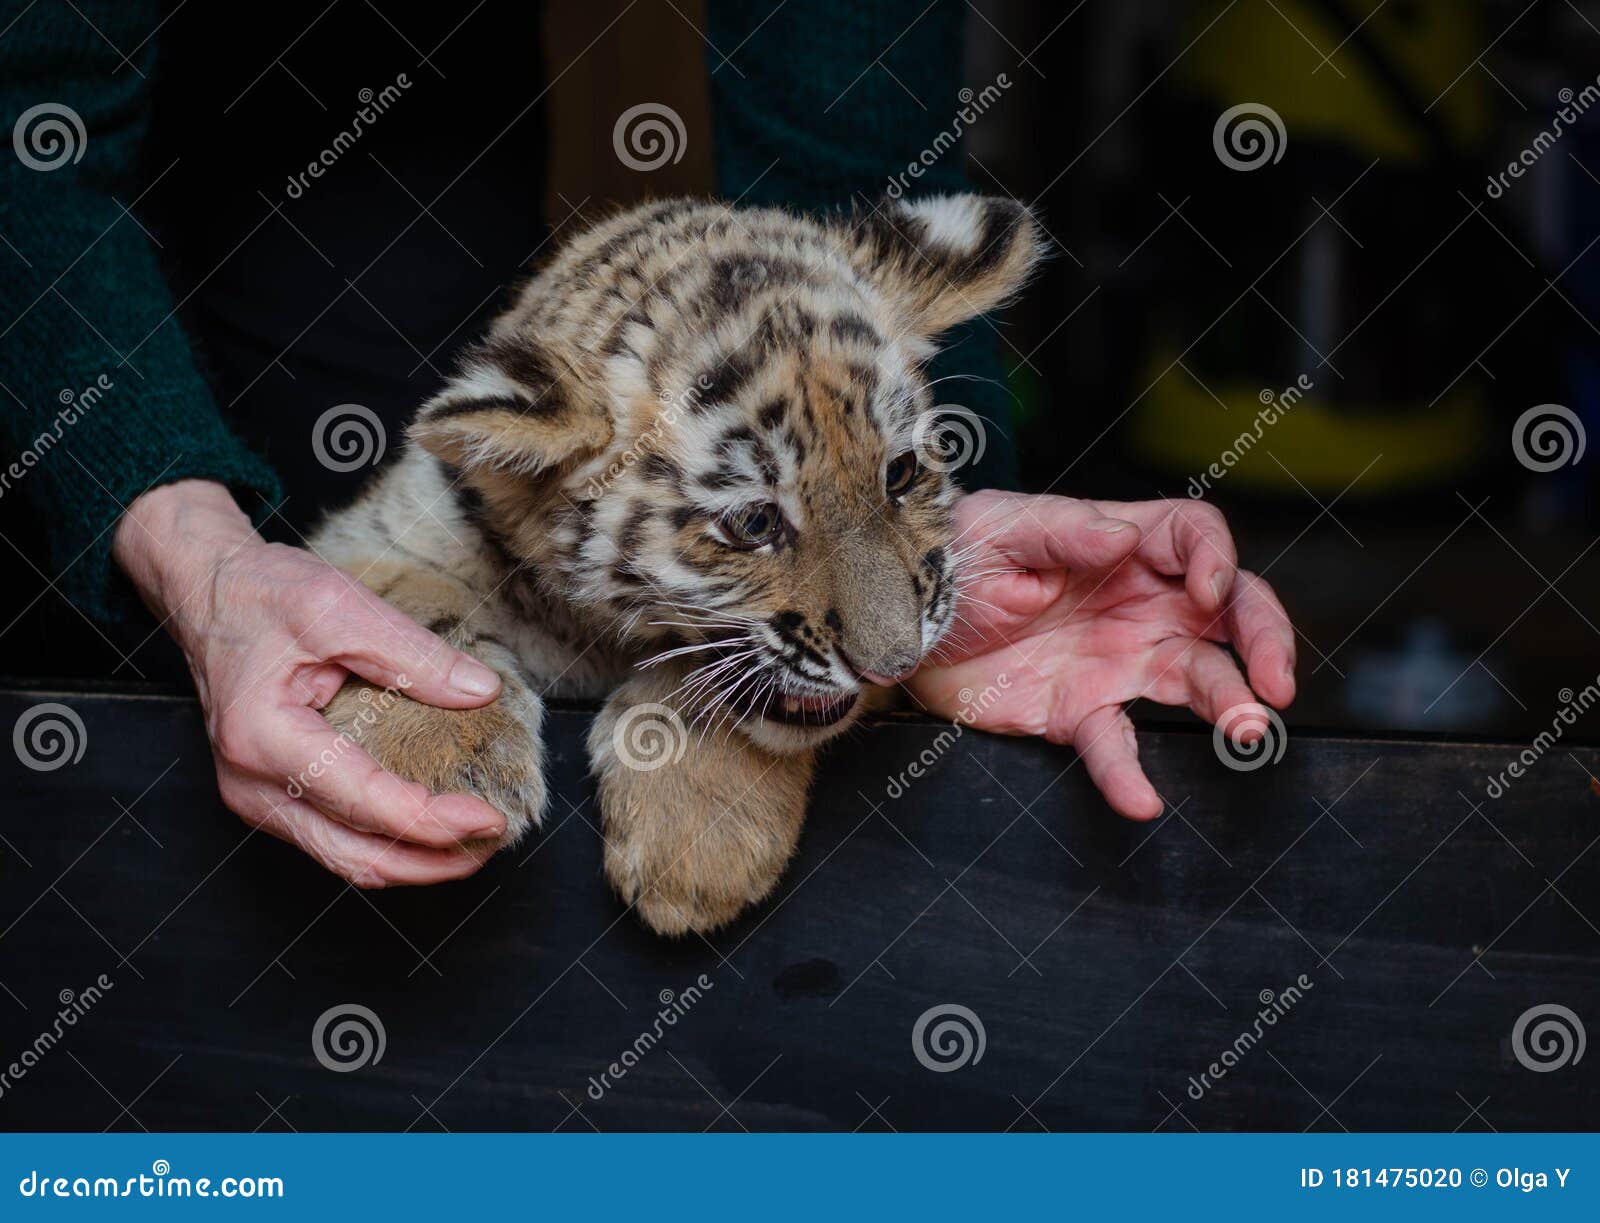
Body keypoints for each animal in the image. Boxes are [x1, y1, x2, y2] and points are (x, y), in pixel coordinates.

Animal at [310, 193, 1043, 935]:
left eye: (900, 473)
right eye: (755, 522)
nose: (892, 663)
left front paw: (698, 847)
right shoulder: (381, 528)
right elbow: (406, 609)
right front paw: (433, 762)